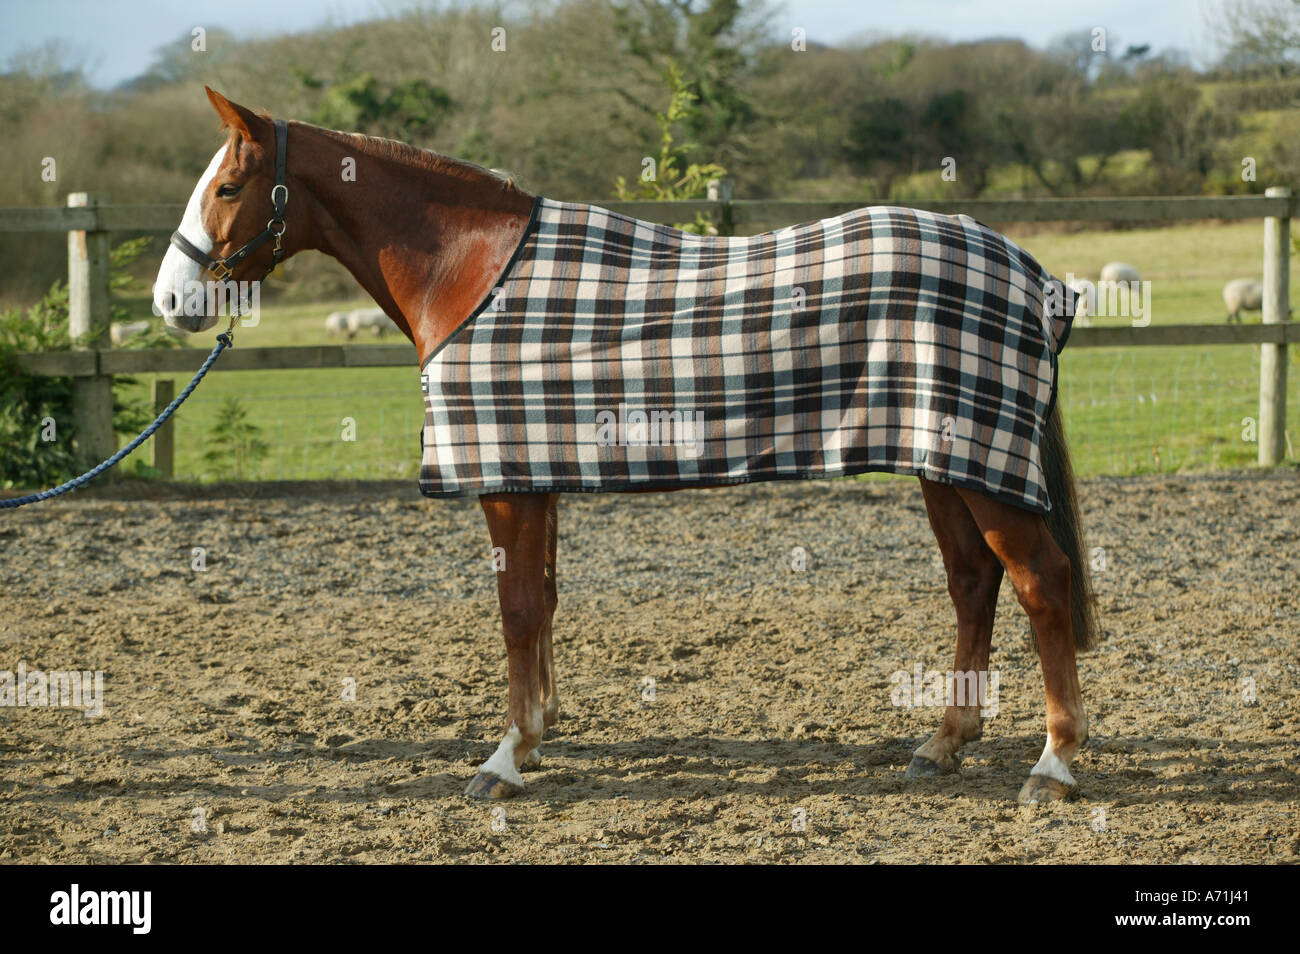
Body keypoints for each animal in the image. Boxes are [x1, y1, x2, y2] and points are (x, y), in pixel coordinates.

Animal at [154, 88, 1097, 804]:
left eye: (229, 187)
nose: (171, 300)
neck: (471, 271)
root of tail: (1029, 274)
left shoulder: (506, 481)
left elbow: (518, 610)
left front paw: (504, 759)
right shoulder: (535, 471)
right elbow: (544, 602)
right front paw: (539, 732)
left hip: (986, 472)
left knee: (1040, 585)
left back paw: (1053, 766)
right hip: (947, 464)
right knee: (973, 584)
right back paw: (944, 743)